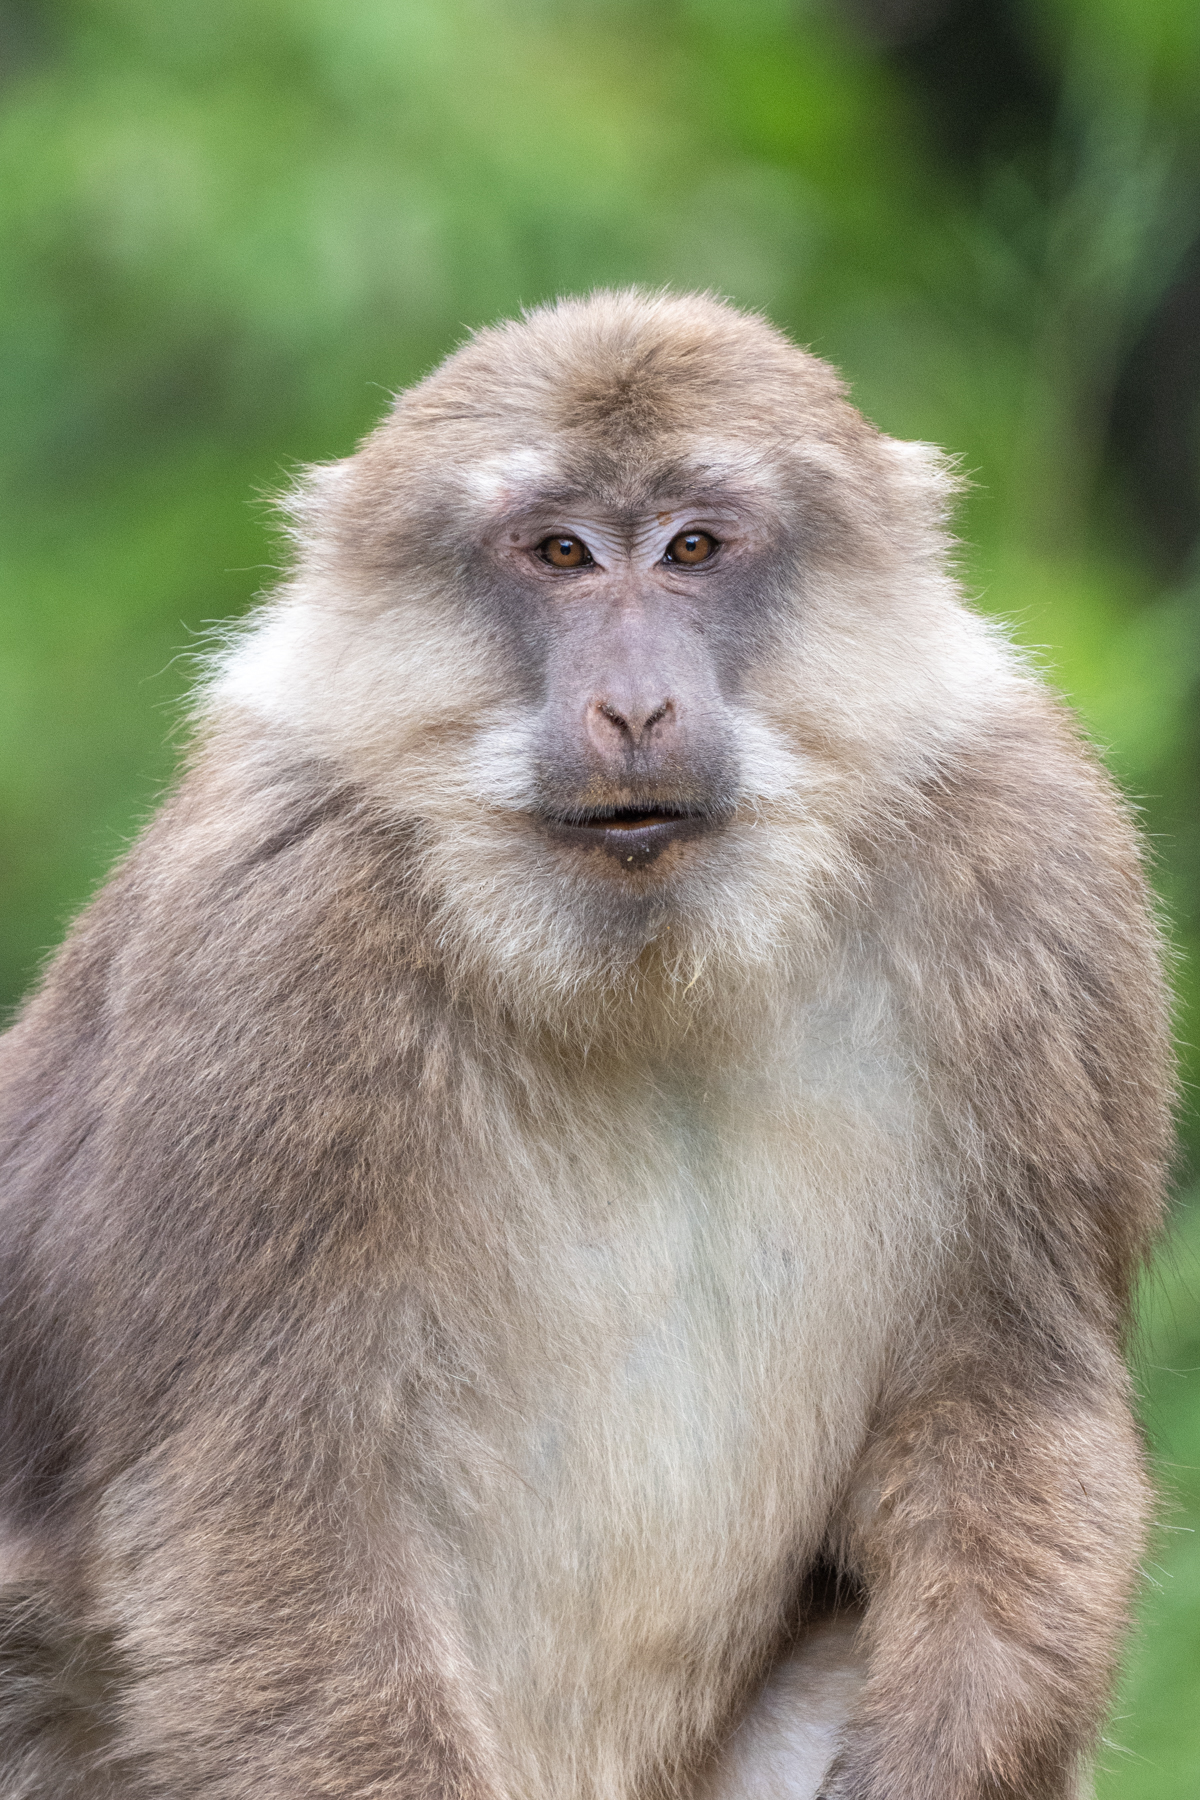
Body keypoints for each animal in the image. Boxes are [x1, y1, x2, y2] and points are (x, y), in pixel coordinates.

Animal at [0, 289, 1173, 1800]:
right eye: (561, 553)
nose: (633, 707)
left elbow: (1015, 1391)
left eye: (692, 549)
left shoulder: (1033, 865)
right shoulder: (269, 936)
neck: (650, 963)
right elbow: (261, 1512)